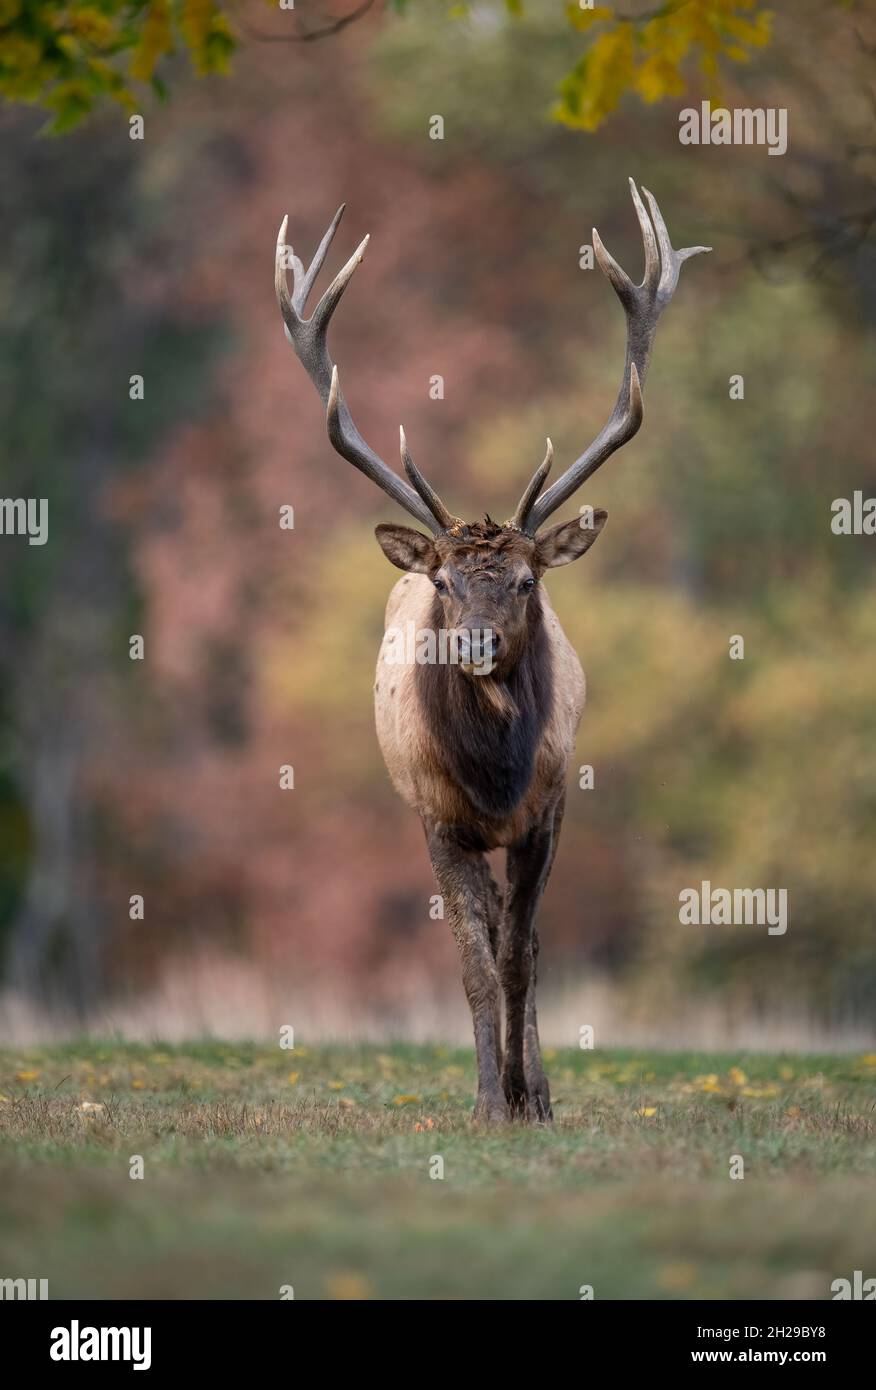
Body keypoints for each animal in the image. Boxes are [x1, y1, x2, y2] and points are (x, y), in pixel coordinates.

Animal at [275, 180, 709, 1122]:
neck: (495, 773)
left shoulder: (548, 810)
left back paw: (535, 1088)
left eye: (522, 581)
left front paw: (524, 1097)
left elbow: (519, 955)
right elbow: (474, 962)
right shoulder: (437, 819)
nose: (474, 639)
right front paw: (484, 1102)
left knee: (530, 944)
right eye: (444, 582)